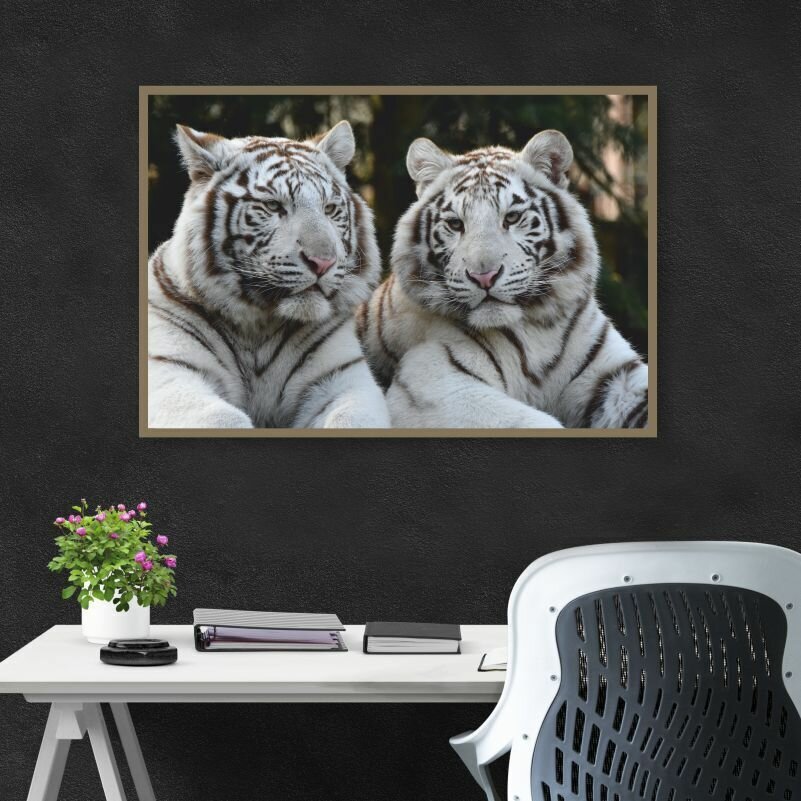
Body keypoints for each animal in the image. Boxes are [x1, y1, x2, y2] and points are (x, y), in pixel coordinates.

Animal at [148, 120, 390, 429]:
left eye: (329, 209)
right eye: (274, 207)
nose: (323, 263)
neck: (258, 328)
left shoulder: (341, 379)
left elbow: (351, 421)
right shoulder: (172, 371)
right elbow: (222, 419)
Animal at [357, 129, 648, 429]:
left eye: (512, 217)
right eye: (455, 224)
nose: (484, 276)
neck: (539, 328)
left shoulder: (617, 375)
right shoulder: (433, 385)